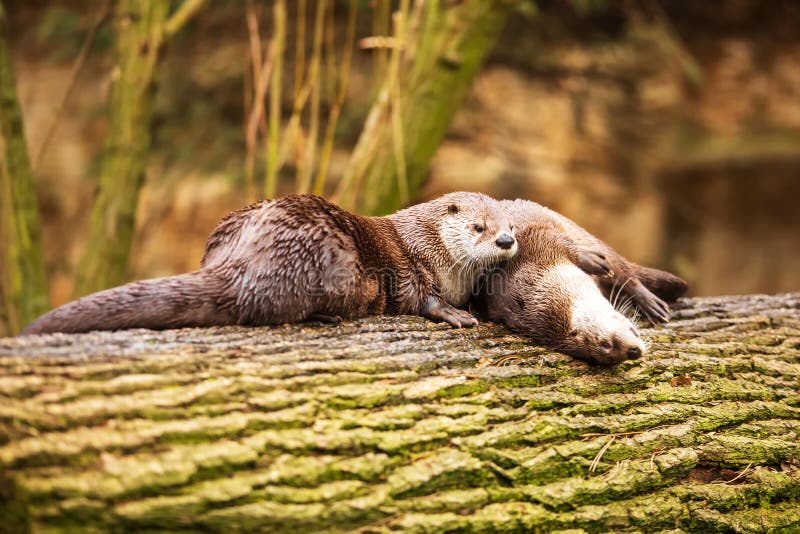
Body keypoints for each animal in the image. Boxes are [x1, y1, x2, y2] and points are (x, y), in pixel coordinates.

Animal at [19, 193, 517, 335]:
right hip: (333, 267)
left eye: (510, 224)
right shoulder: (413, 262)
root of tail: (246, 261)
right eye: (479, 227)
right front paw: (454, 313)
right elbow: (420, 297)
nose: (506, 240)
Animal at [476, 199, 687, 365]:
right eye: (605, 346)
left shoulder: (535, 239)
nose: (632, 353)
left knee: (624, 271)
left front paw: (590, 259)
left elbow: (565, 244)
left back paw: (653, 305)